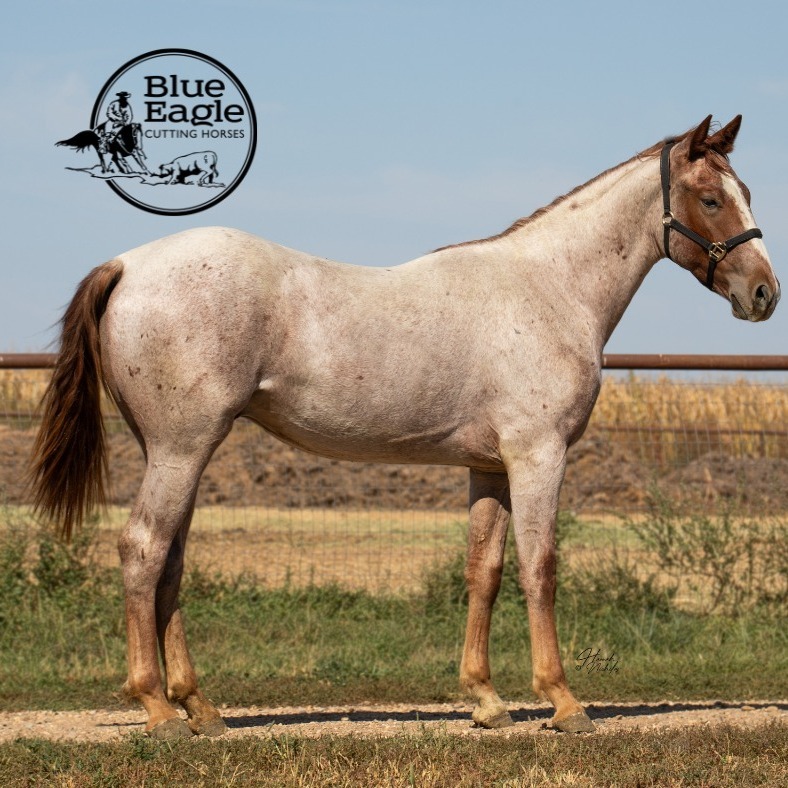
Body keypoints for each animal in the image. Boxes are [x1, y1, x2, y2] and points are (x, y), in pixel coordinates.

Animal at [30, 115, 779, 740]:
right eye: (711, 199)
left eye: (745, 191)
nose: (764, 294)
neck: (550, 287)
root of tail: (128, 264)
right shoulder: (538, 457)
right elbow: (540, 567)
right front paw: (564, 702)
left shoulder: (489, 467)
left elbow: (484, 570)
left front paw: (486, 701)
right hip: (181, 449)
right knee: (143, 550)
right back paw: (158, 710)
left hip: (176, 452)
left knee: (171, 561)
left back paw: (201, 709)